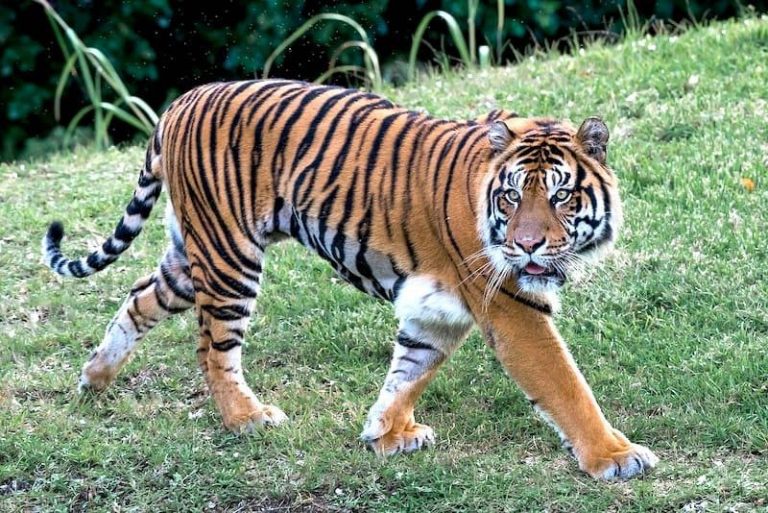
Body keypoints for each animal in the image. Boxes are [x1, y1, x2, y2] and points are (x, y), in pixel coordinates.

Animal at [42, 79, 658, 480]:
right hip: (228, 257)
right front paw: (615, 457)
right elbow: (565, 384)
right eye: (511, 196)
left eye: (561, 195)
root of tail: (178, 103)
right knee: (213, 348)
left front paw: (386, 433)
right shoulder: (512, 307)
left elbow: (410, 370)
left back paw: (95, 379)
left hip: (191, 256)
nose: (527, 245)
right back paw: (247, 419)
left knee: (139, 297)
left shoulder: (435, 309)